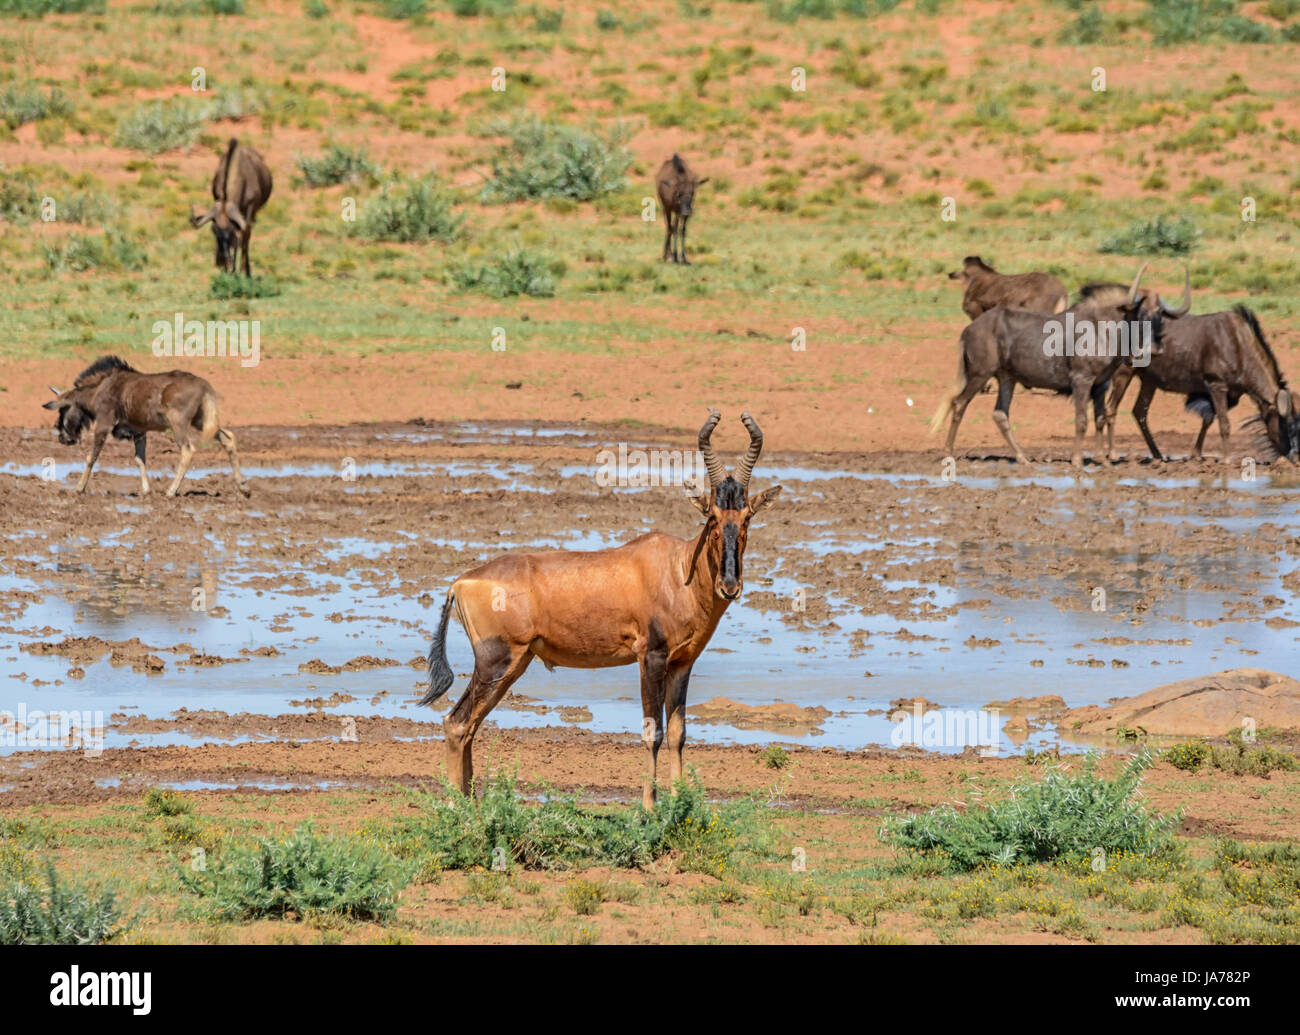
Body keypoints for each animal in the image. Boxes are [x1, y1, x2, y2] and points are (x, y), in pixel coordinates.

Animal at [191, 138, 272, 277]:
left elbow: (243, 239)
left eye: (230, 230)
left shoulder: (250, 210)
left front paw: (244, 271)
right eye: (214, 231)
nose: (223, 262)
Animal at [421, 410, 781, 808]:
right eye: (712, 517)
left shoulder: (682, 664)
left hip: (514, 665)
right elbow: (652, 731)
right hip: (495, 662)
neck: (677, 567)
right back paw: (456, 807)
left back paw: (472, 803)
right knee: (457, 722)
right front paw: (650, 808)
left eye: (747, 516)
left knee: (470, 725)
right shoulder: (650, 658)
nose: (729, 585)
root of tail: (461, 582)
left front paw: (679, 802)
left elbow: (678, 733)